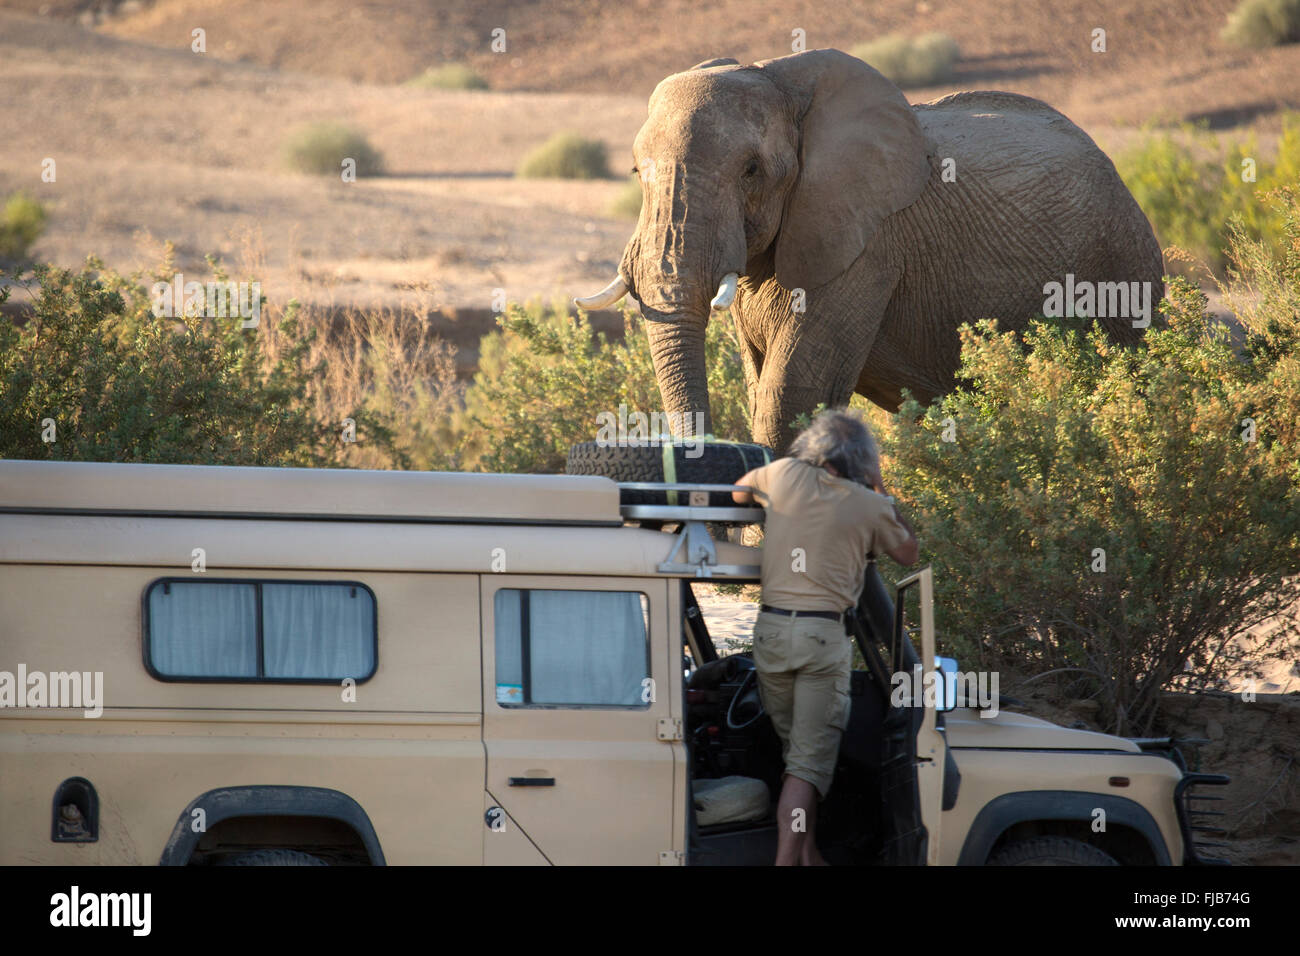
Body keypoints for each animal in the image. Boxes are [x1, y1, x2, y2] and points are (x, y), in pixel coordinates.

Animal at [575, 48, 1164, 453]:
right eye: (636, 172)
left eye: (751, 171)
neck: (777, 76)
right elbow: (759, 383)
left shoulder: (868, 244)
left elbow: (791, 398)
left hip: (1122, 262)